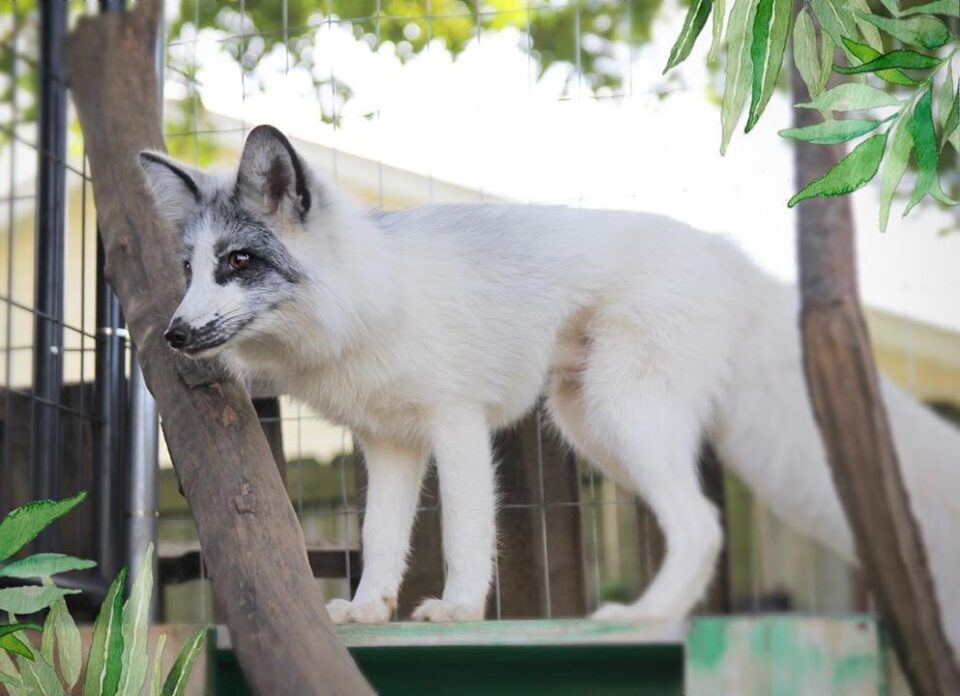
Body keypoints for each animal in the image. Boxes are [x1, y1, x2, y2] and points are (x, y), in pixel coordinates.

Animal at [139, 124, 960, 654]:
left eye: (240, 261)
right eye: (189, 269)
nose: (173, 334)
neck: (368, 294)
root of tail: (735, 259)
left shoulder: (457, 423)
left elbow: (465, 532)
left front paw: (459, 610)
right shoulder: (389, 445)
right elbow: (382, 539)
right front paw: (370, 610)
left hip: (622, 411)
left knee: (702, 524)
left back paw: (640, 618)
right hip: (592, 424)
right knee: (698, 524)